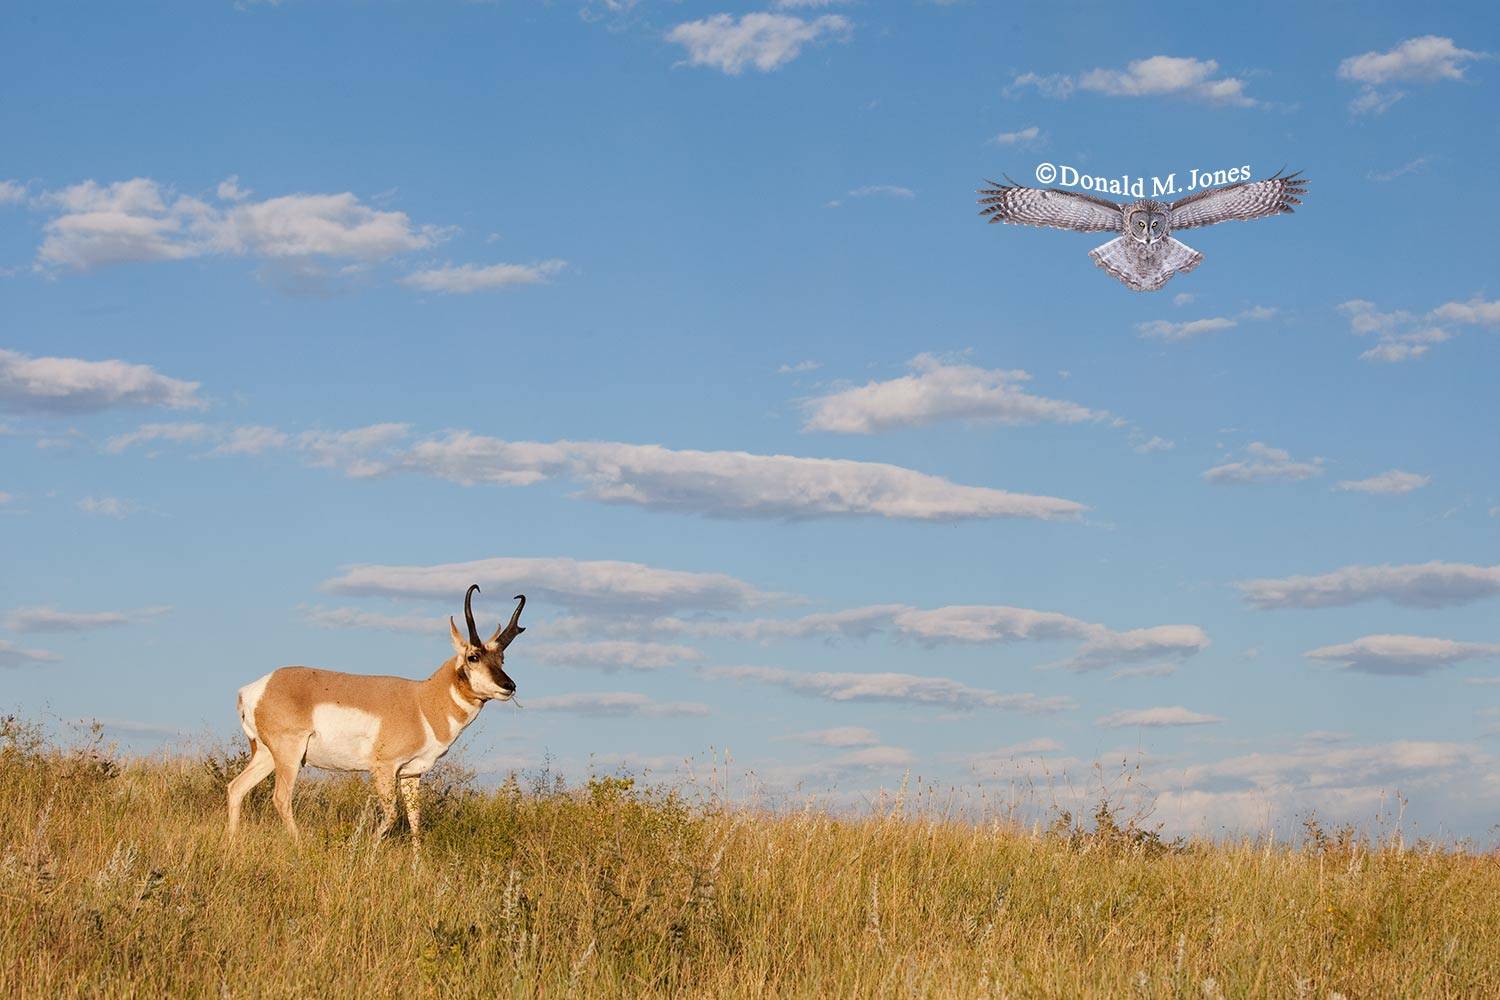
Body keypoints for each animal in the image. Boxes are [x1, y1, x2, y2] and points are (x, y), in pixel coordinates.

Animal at [226, 585, 526, 848]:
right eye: (473, 656)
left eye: (502, 659)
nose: (509, 686)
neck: (423, 701)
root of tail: (255, 688)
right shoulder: (384, 769)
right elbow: (392, 814)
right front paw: (364, 851)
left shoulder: (411, 774)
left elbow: (415, 821)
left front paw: (417, 868)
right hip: (289, 755)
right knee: (280, 798)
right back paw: (299, 847)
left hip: (266, 755)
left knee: (236, 788)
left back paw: (233, 844)